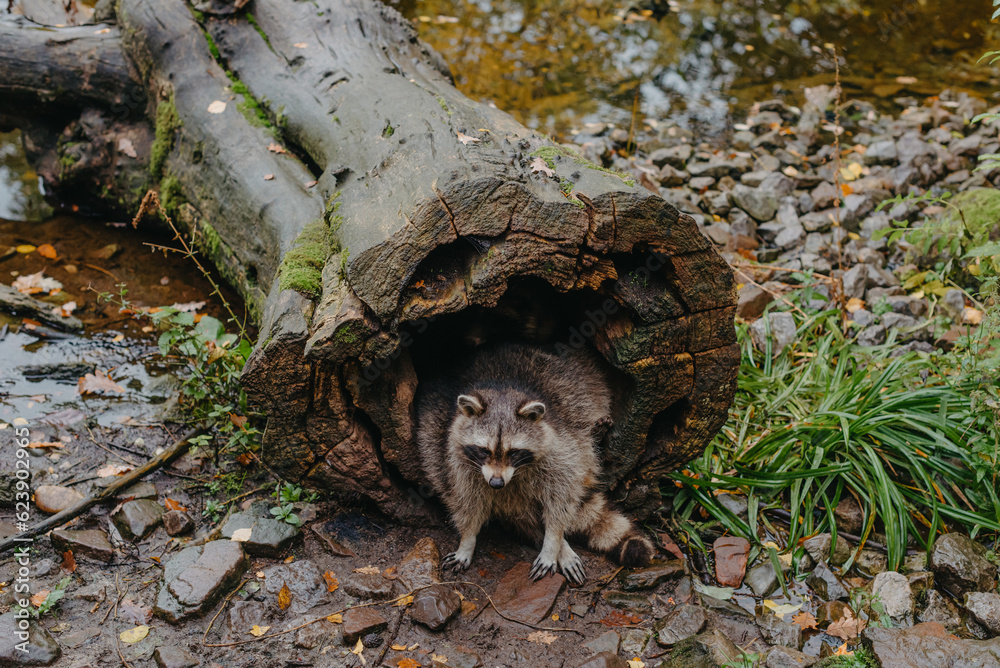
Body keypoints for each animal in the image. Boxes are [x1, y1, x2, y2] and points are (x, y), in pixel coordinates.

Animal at [416, 343, 654, 585]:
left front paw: (553, 542)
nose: (496, 483)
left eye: (513, 452)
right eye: (484, 451)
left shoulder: (562, 446)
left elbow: (561, 498)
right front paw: (467, 540)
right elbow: (466, 501)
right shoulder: (453, 459)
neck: (503, 388)